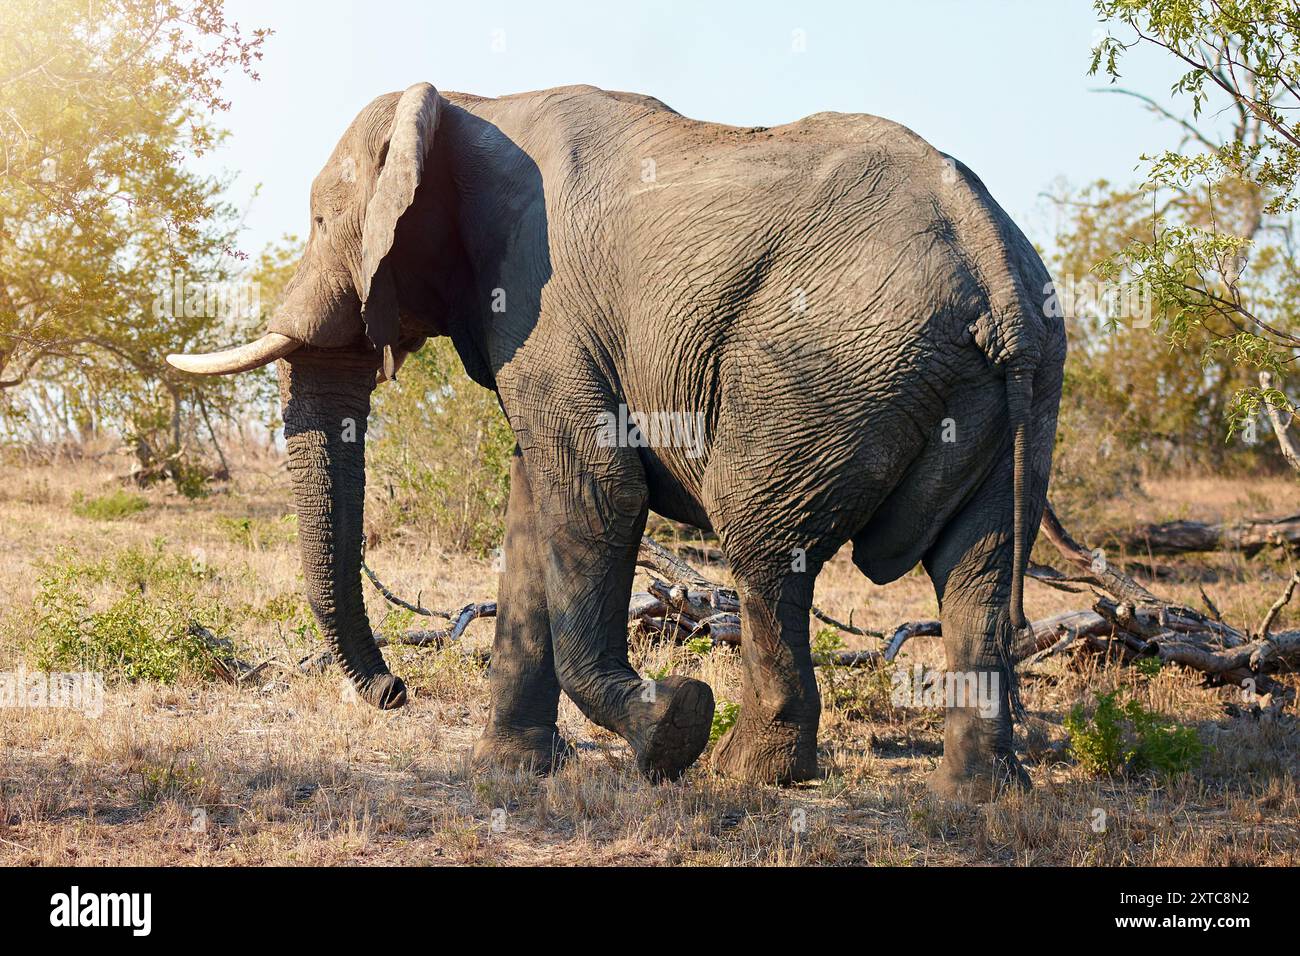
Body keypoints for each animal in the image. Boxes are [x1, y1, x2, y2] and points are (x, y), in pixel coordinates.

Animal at [169, 82, 1065, 801]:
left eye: (322, 219)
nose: (395, 692)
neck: (470, 104)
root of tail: (994, 264)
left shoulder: (546, 304)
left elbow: (599, 491)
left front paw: (670, 725)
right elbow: (535, 509)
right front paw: (511, 771)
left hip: (821, 368)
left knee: (765, 547)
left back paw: (745, 773)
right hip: (1012, 389)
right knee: (978, 570)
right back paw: (977, 794)